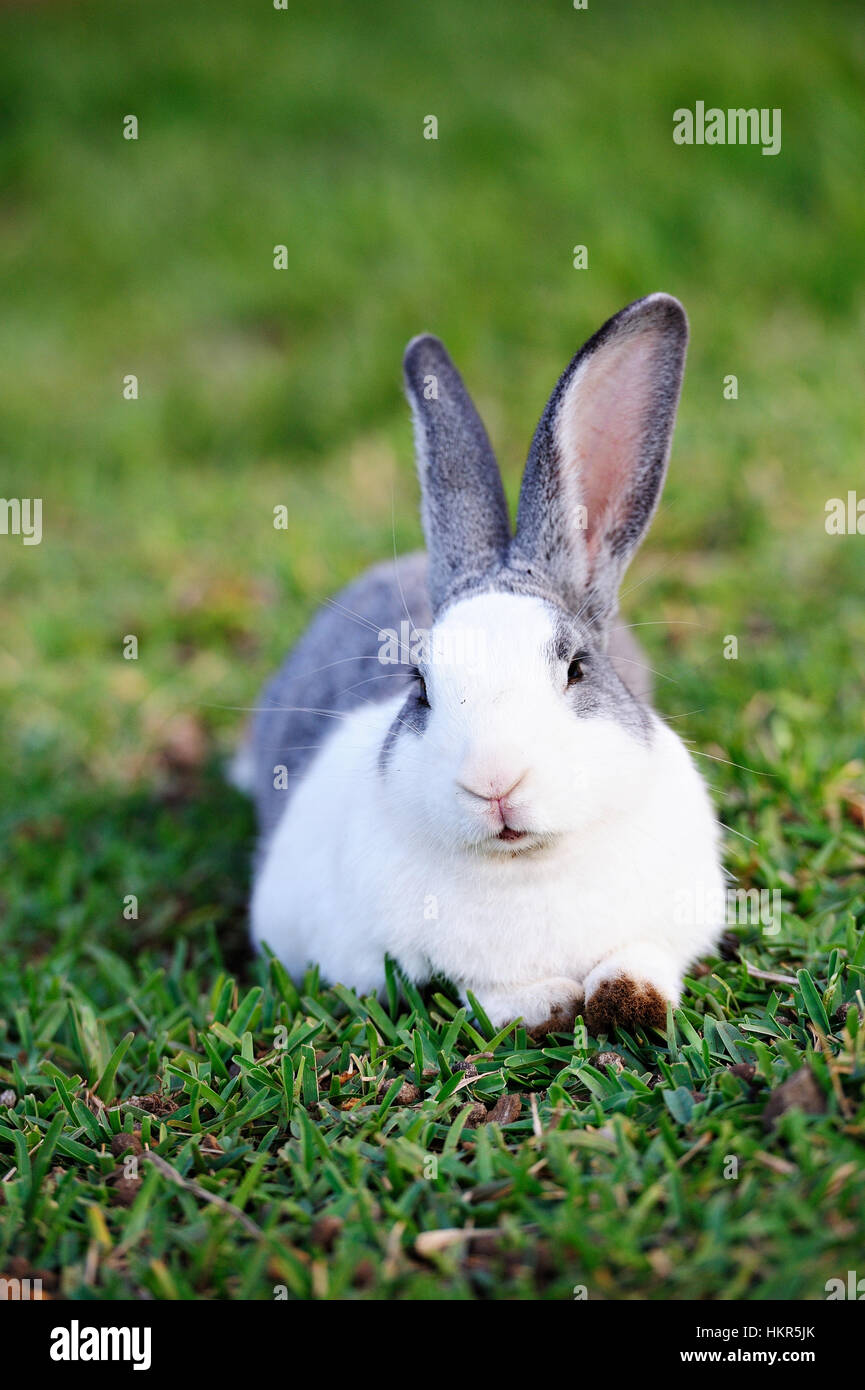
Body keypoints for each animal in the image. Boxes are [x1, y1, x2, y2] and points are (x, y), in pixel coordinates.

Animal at [237, 293, 725, 1036]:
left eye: (575, 668)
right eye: (420, 687)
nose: (494, 783)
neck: (528, 864)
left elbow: (644, 955)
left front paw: (628, 1001)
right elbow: (470, 988)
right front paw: (546, 1005)